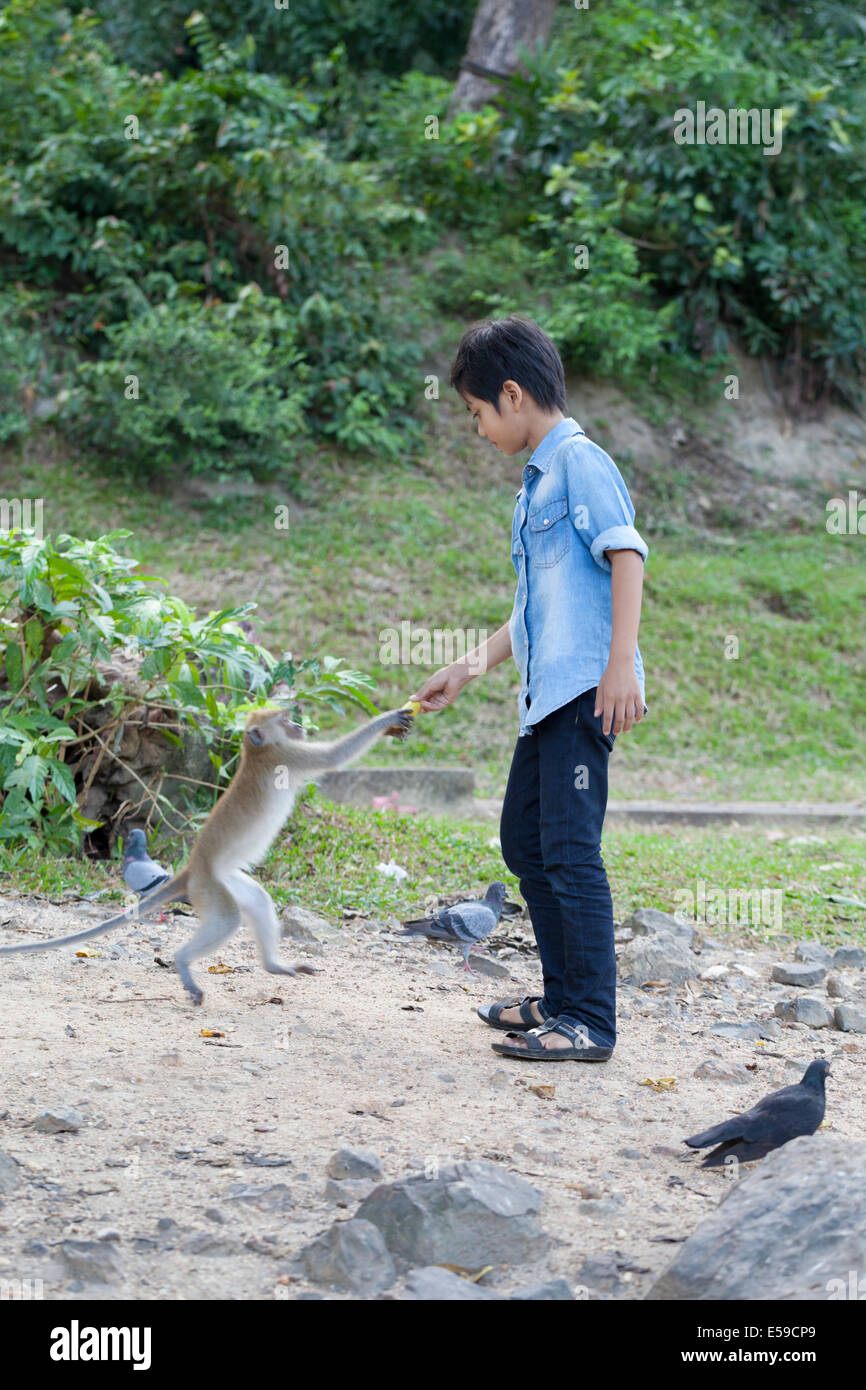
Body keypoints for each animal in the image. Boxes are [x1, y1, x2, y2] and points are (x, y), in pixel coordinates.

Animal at [0, 705, 414, 1004]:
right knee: (228, 919)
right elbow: (333, 757)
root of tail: (192, 869)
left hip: (225, 880)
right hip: (210, 889)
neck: (257, 751)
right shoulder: (290, 755)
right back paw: (184, 962)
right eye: (284, 719)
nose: (298, 724)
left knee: (257, 902)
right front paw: (390, 719)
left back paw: (272, 965)